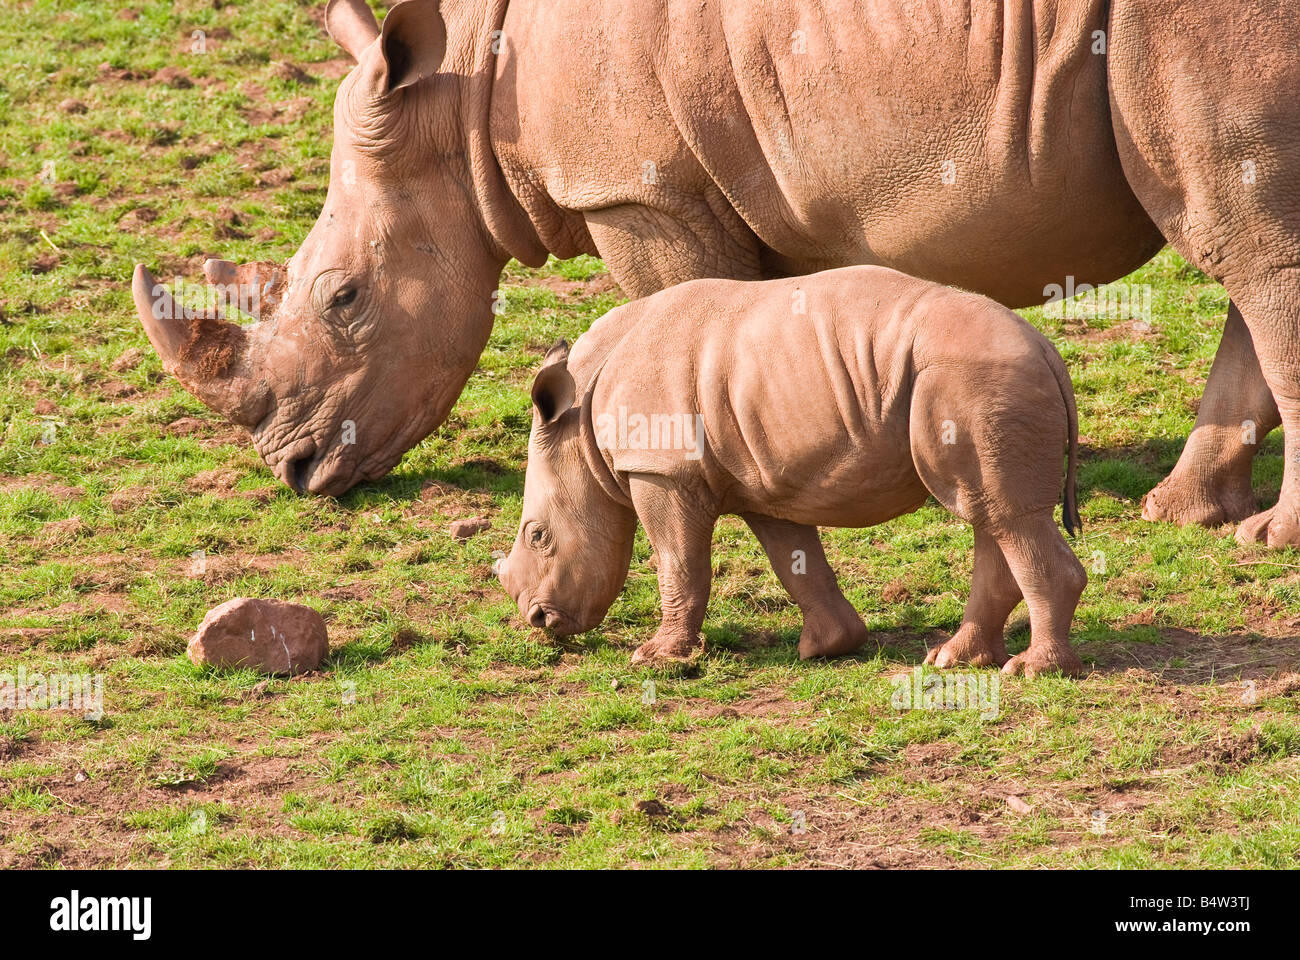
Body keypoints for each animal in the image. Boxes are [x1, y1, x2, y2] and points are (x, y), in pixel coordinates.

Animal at [133, 0, 1300, 553]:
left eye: (344, 299)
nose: (291, 470)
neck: (458, 100)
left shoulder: (638, 191)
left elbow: (670, 323)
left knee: (1248, 242)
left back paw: (1264, 538)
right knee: (1241, 238)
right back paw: (1179, 514)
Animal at [496, 266, 1086, 673]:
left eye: (539, 535)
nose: (539, 622)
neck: (580, 425)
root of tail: (1047, 348)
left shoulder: (660, 470)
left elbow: (678, 562)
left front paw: (656, 658)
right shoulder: (762, 483)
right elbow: (796, 561)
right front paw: (827, 647)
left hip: (975, 379)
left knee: (1003, 516)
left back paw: (1031, 671)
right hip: (979, 383)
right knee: (991, 513)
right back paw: (953, 660)